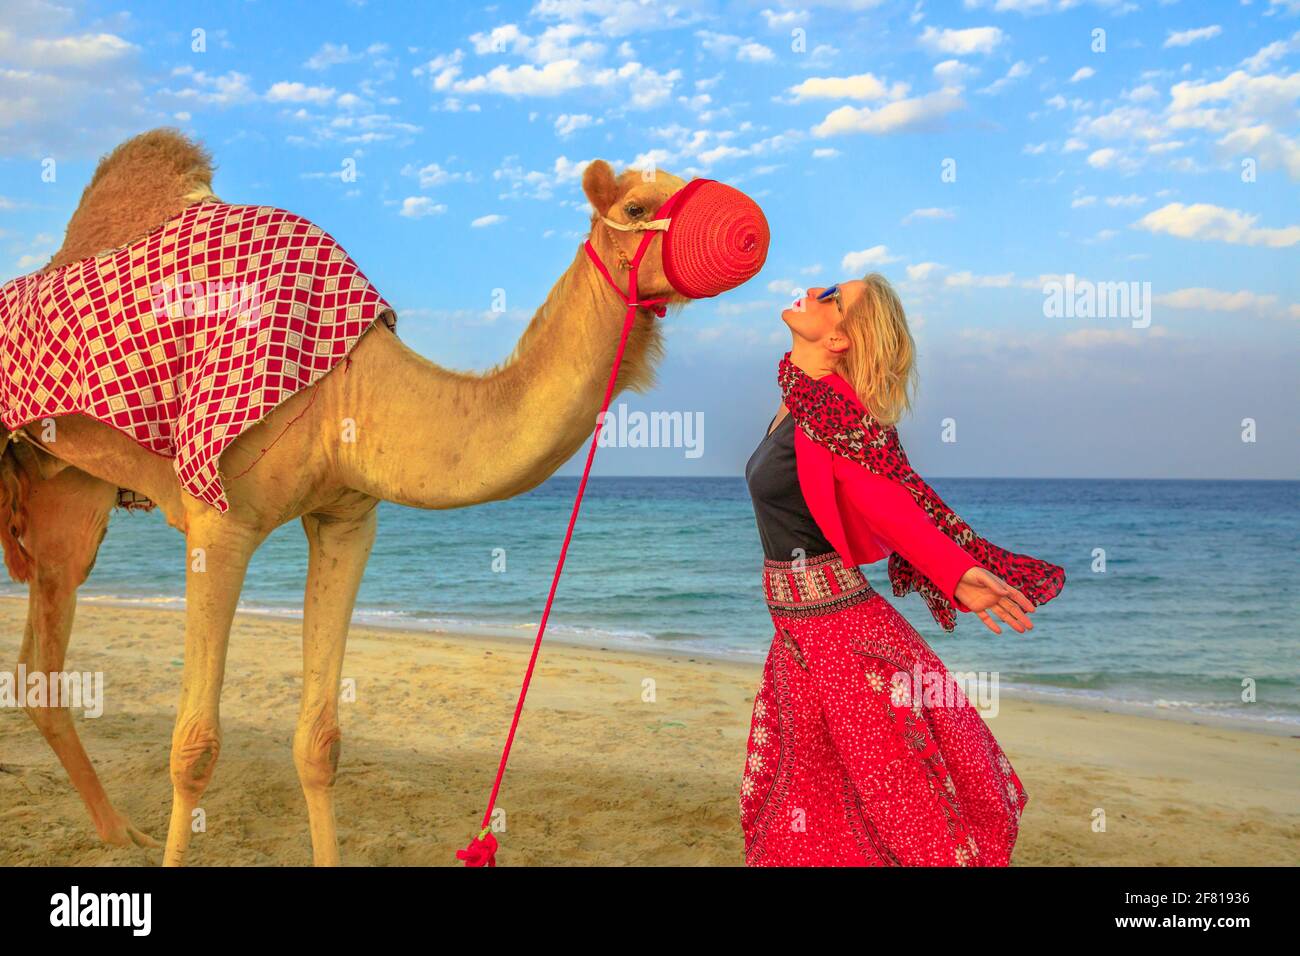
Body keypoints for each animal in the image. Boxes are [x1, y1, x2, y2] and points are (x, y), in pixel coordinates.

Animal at [2, 129, 697, 865]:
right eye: (637, 205)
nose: (739, 227)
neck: (349, 386)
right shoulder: (218, 524)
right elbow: (193, 747)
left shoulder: (346, 519)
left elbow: (320, 744)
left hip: (70, 492)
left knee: (41, 664)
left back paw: (117, 832)